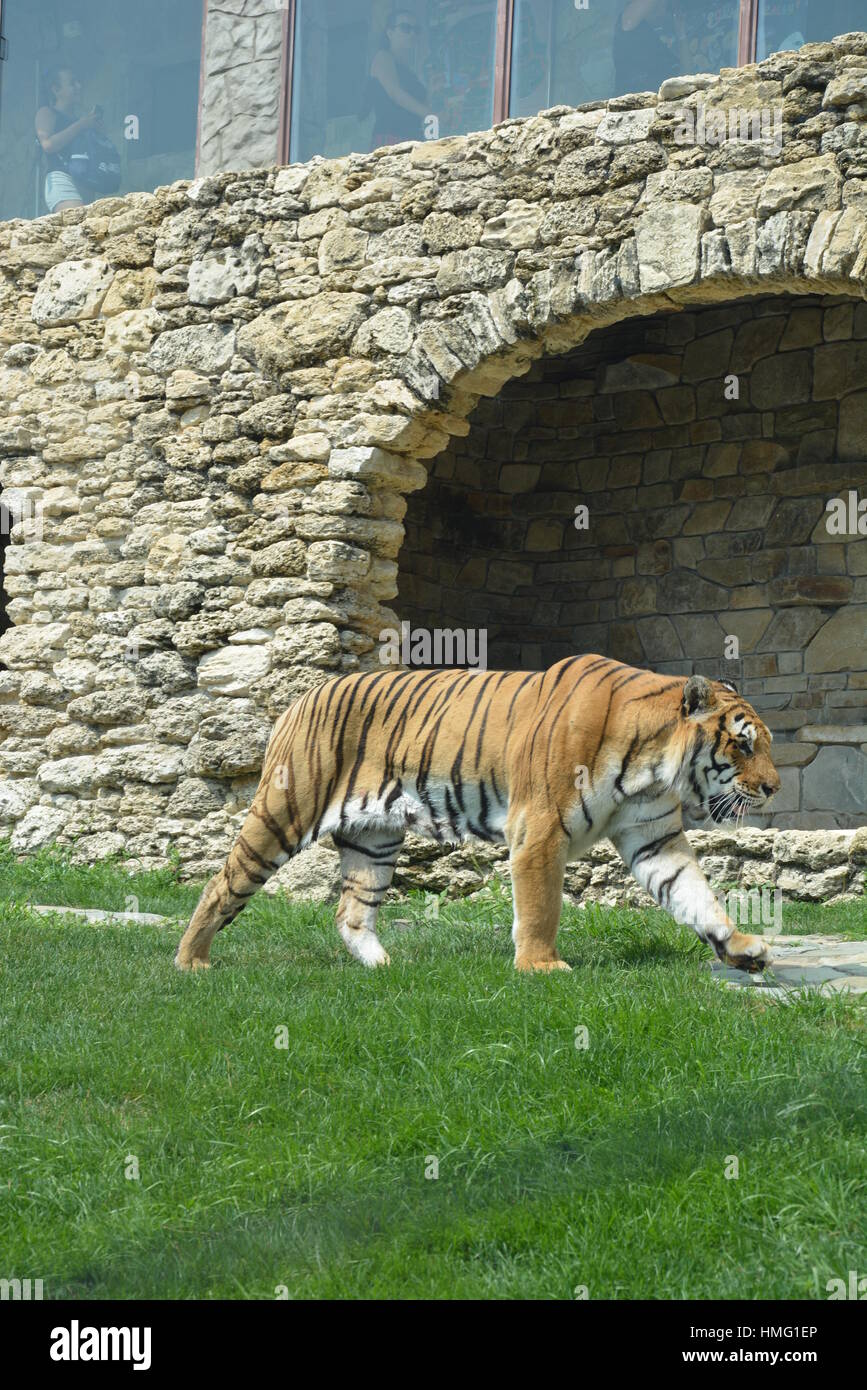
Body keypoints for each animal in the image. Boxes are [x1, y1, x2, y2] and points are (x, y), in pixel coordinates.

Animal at [175, 654, 781, 976]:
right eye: (743, 745)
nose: (773, 787)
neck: (652, 765)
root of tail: (300, 699)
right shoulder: (539, 828)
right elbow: (540, 906)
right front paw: (540, 967)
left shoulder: (652, 835)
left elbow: (696, 895)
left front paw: (741, 948)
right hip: (285, 812)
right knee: (223, 883)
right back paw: (190, 962)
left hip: (374, 838)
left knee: (351, 911)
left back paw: (385, 968)